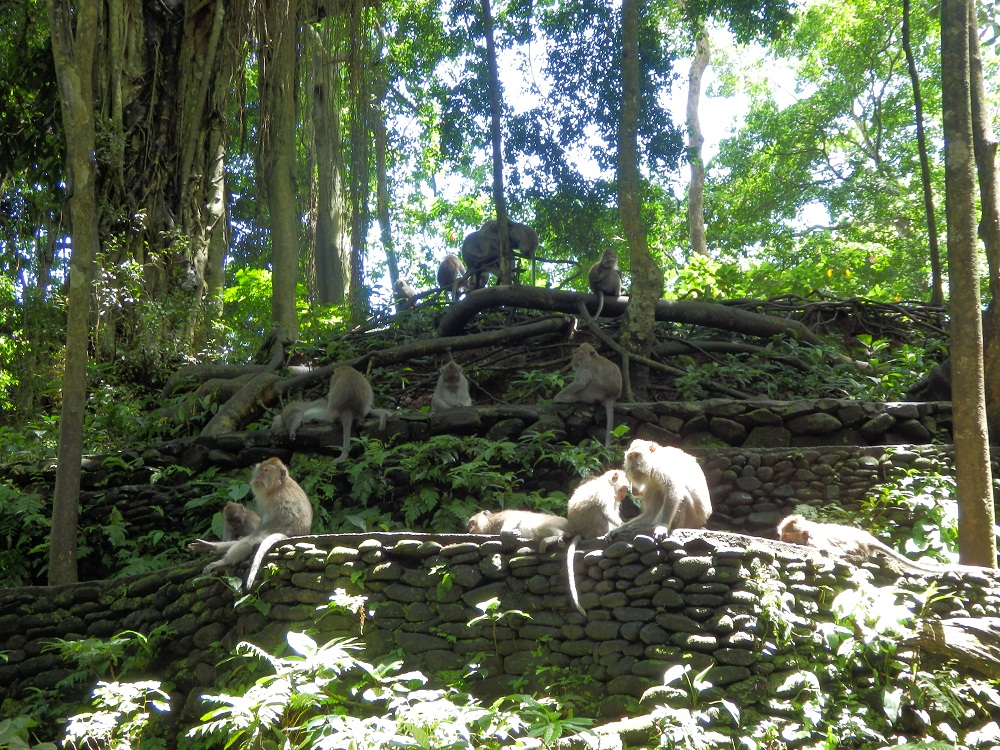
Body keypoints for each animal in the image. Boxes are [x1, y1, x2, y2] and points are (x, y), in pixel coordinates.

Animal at [189, 457, 313, 589]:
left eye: (266, 470)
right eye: (260, 469)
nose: (258, 476)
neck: (277, 488)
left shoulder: (283, 498)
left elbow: (281, 520)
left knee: (252, 539)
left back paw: (223, 561)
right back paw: (212, 546)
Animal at [564, 469, 630, 615]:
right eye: (623, 489)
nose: (623, 496)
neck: (608, 483)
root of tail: (579, 531)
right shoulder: (606, 492)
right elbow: (607, 512)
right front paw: (621, 526)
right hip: (590, 528)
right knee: (597, 510)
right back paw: (604, 534)